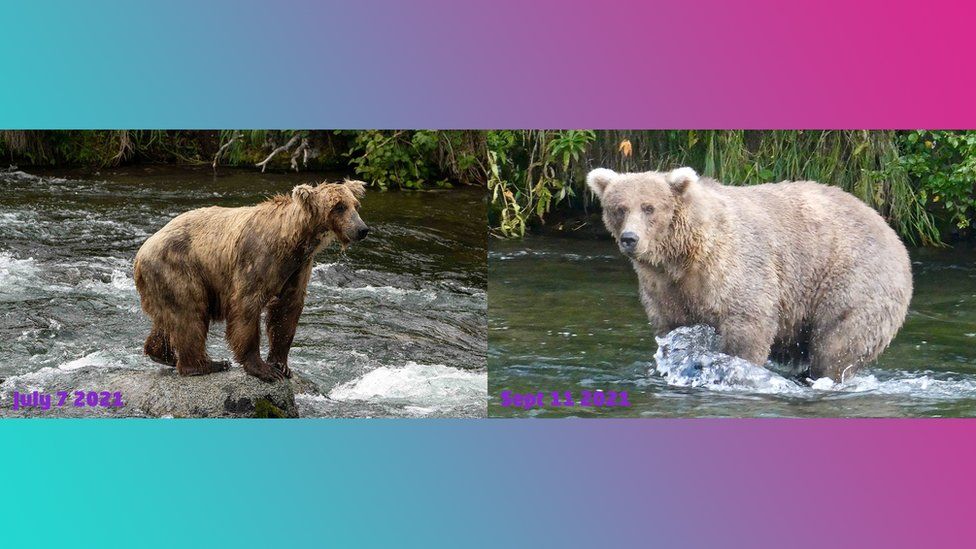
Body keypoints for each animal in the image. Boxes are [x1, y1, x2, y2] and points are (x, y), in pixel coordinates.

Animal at [133, 180, 369, 383]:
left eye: (355, 205)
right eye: (339, 206)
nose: (362, 229)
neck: (294, 240)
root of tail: (140, 254)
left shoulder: (297, 269)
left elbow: (287, 310)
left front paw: (282, 365)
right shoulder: (256, 259)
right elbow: (247, 306)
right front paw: (263, 369)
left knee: (169, 317)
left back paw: (164, 355)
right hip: (178, 268)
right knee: (190, 311)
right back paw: (207, 364)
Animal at [586, 166, 913, 382]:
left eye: (649, 207)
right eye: (619, 208)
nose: (630, 238)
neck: (684, 257)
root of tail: (893, 234)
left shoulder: (733, 267)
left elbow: (747, 323)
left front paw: (735, 366)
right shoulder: (666, 289)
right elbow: (673, 330)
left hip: (852, 280)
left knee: (838, 344)